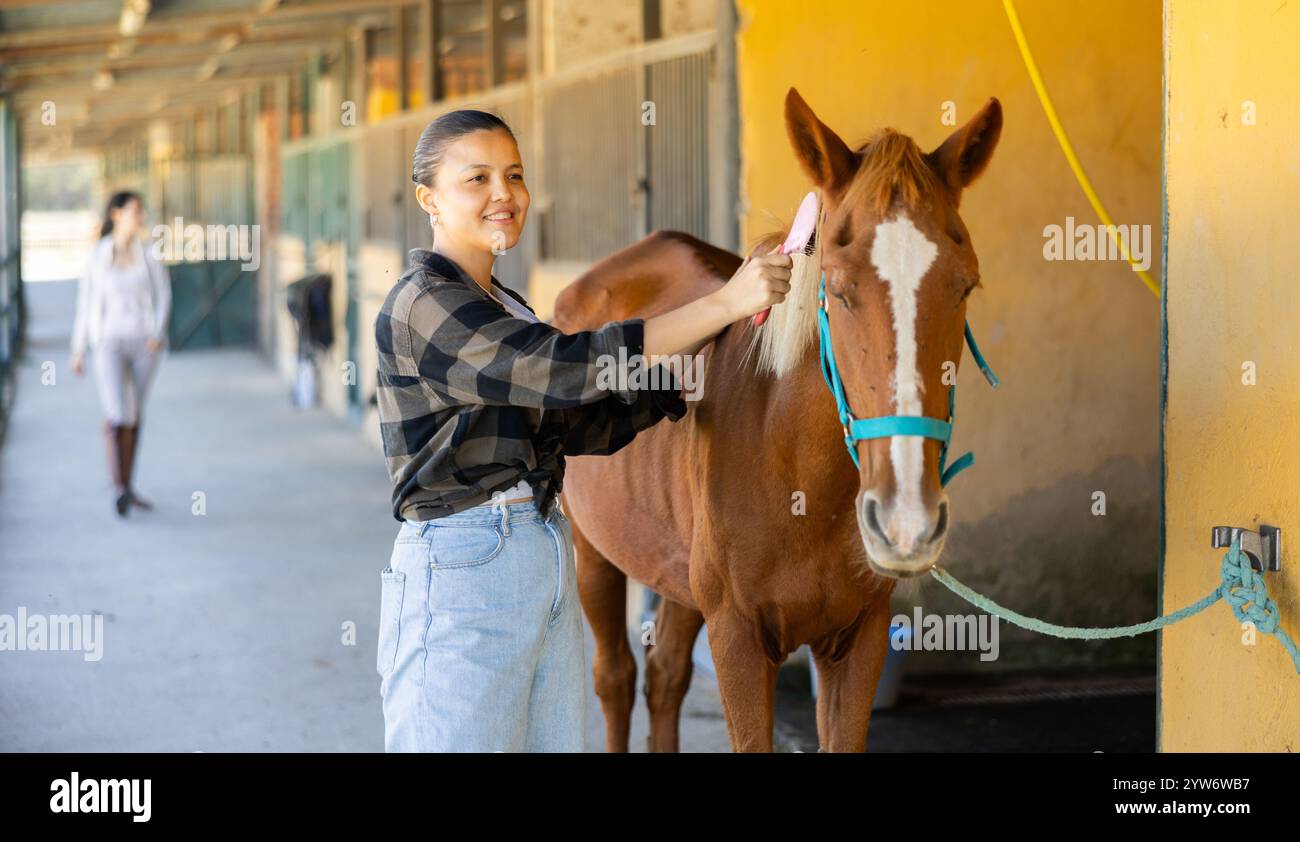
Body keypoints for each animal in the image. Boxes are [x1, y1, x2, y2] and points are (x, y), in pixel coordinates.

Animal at [552, 87, 1002, 752]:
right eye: (838, 289)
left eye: (965, 286)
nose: (906, 522)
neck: (796, 471)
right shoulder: (738, 640)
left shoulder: (858, 640)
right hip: (595, 553)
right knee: (615, 677)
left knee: (665, 676)